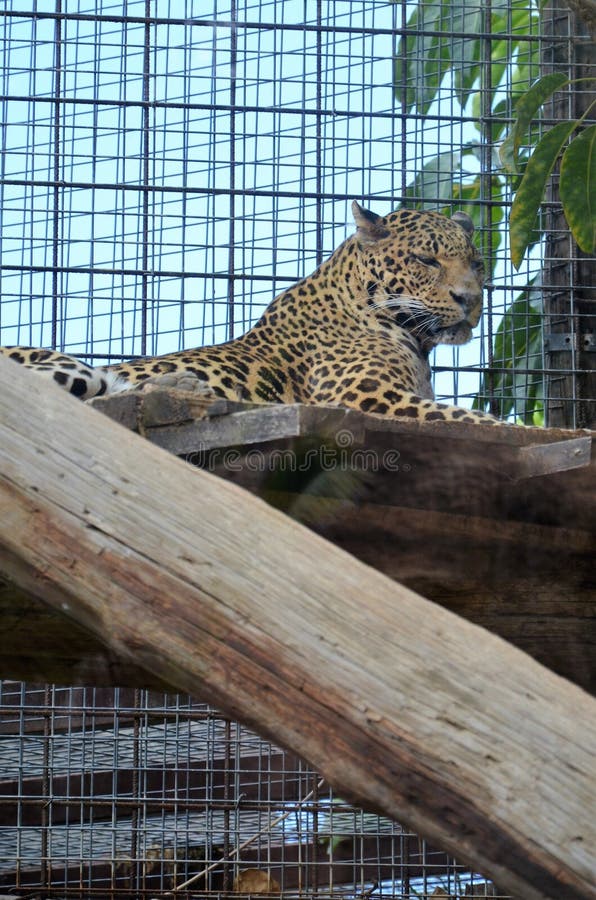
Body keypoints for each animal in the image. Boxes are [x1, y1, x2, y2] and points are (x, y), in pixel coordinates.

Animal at [0, 202, 500, 425]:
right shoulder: (364, 396)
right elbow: (467, 419)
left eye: (477, 264)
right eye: (426, 260)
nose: (470, 298)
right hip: (60, 365)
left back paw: (179, 387)